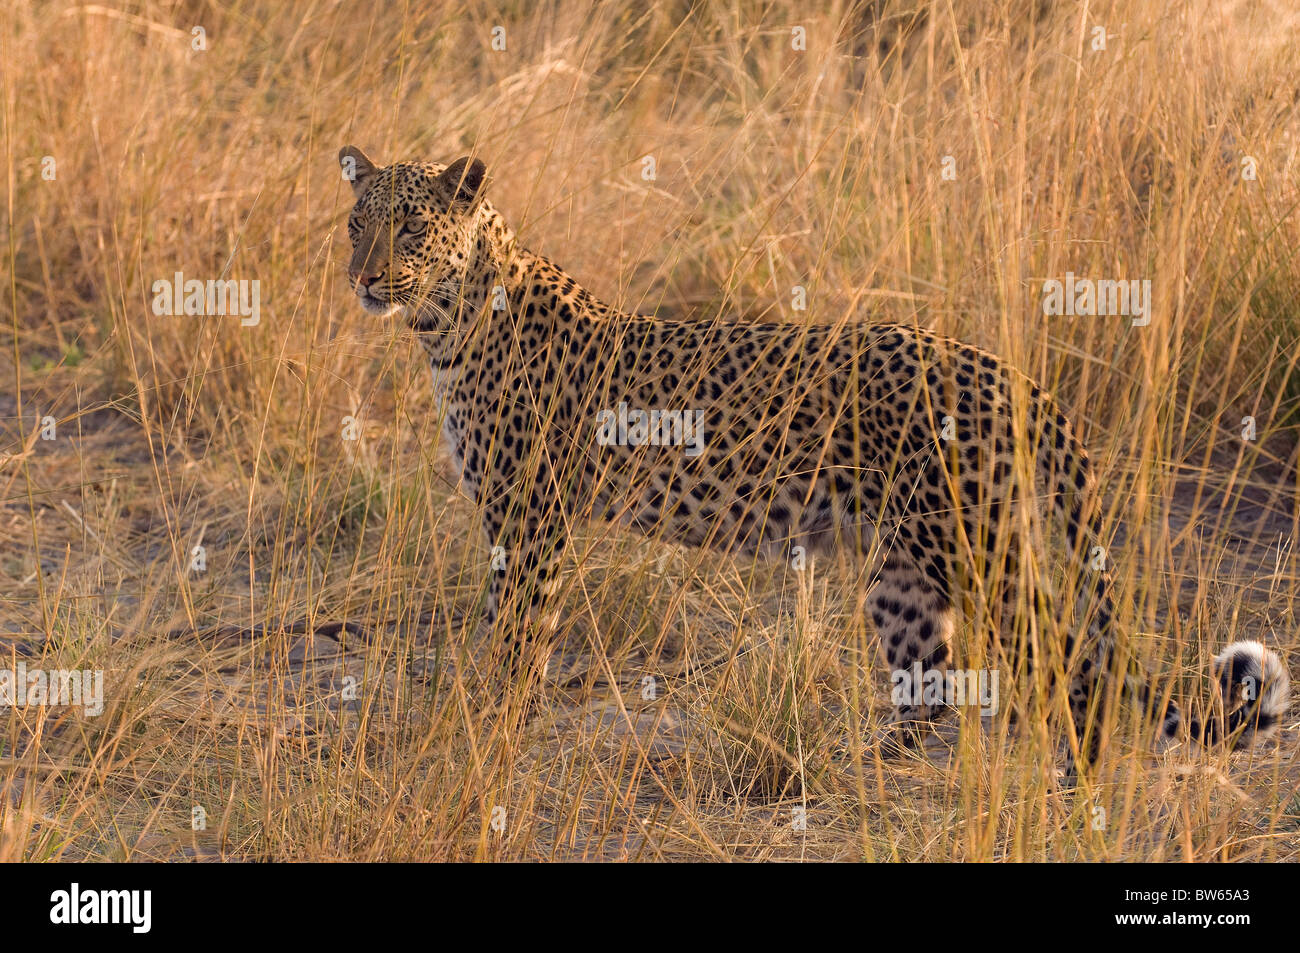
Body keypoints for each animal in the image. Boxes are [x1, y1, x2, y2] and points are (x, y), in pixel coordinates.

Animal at [338, 144, 1289, 770]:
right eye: (356, 224)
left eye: (411, 227)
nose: (363, 279)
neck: (447, 323)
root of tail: (1009, 373)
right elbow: (508, 630)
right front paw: (487, 721)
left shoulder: (528, 517)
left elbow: (514, 633)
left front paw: (490, 729)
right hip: (905, 569)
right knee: (933, 683)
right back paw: (858, 761)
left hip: (973, 547)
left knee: (1068, 659)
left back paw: (1073, 783)